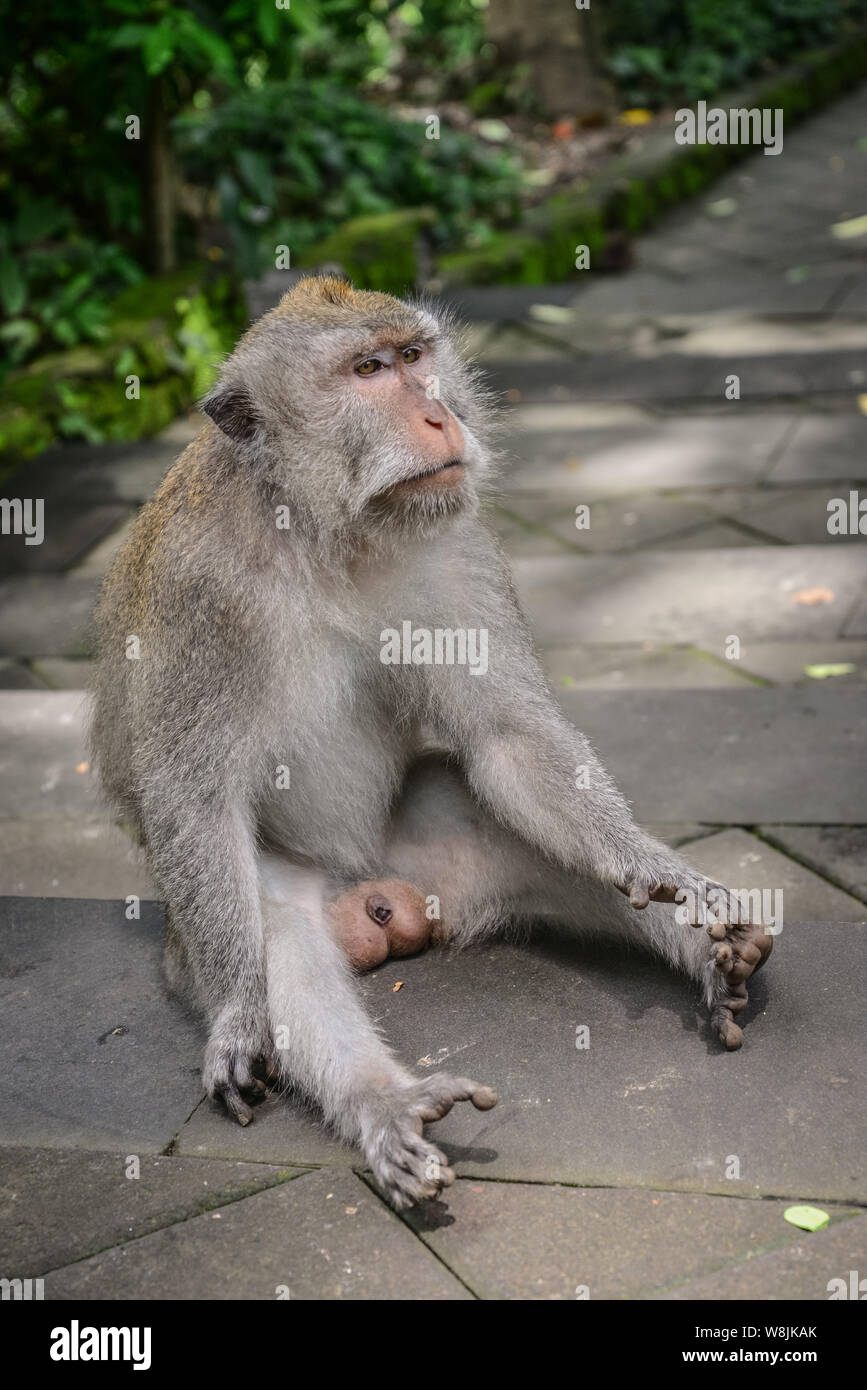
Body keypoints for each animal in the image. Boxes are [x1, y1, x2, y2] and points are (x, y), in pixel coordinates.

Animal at [90, 275, 772, 1210]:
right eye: (367, 371)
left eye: (415, 356)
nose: (439, 415)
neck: (325, 533)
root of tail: (377, 890)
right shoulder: (200, 593)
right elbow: (193, 799)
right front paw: (236, 1018)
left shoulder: (457, 545)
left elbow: (508, 738)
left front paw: (661, 871)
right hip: (215, 928)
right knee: (279, 930)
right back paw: (386, 1104)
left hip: (435, 853)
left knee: (510, 819)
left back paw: (714, 959)